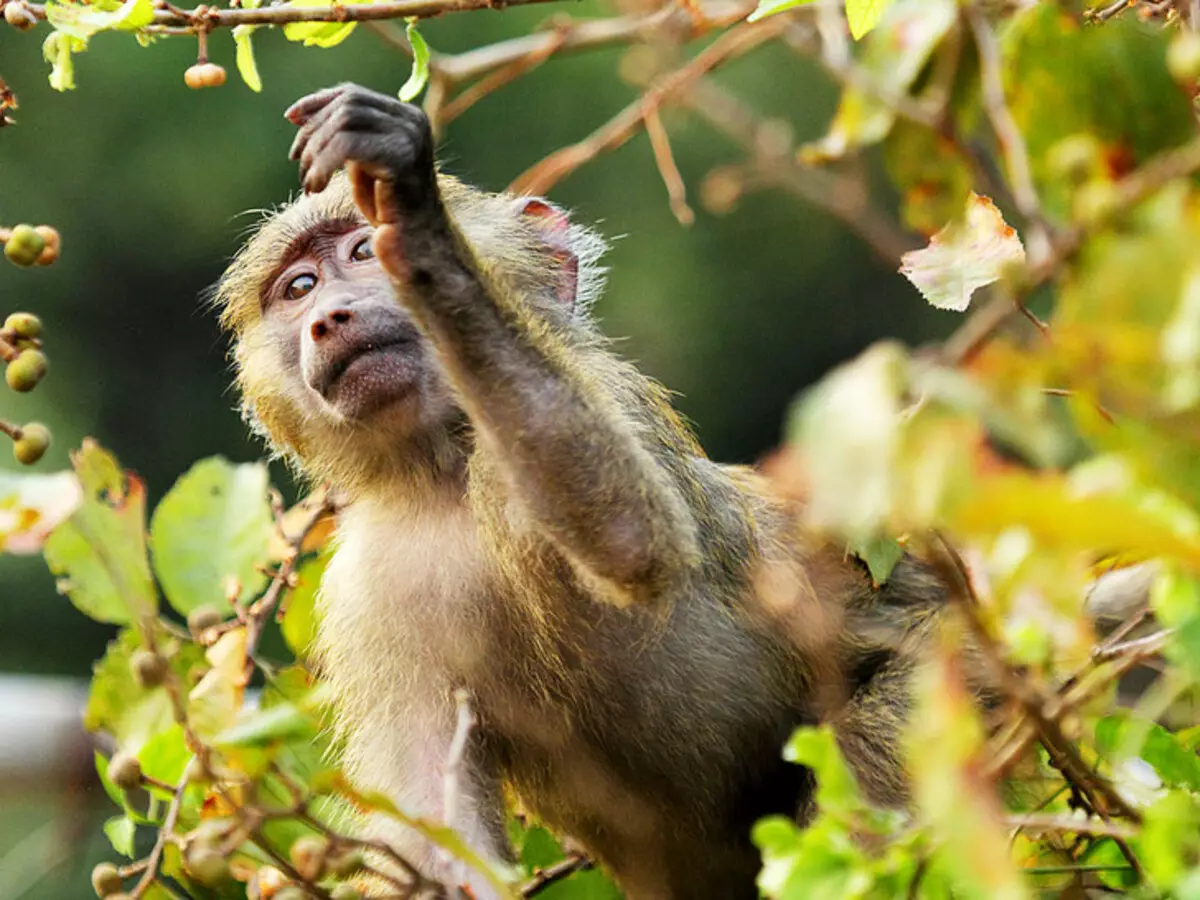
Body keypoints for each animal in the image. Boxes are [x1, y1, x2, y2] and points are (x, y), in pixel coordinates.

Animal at [213, 81, 955, 897]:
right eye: (298, 288)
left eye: (355, 252)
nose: (327, 318)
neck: (443, 476)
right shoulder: (370, 592)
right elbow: (439, 840)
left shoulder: (606, 393)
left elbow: (637, 543)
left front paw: (419, 228)